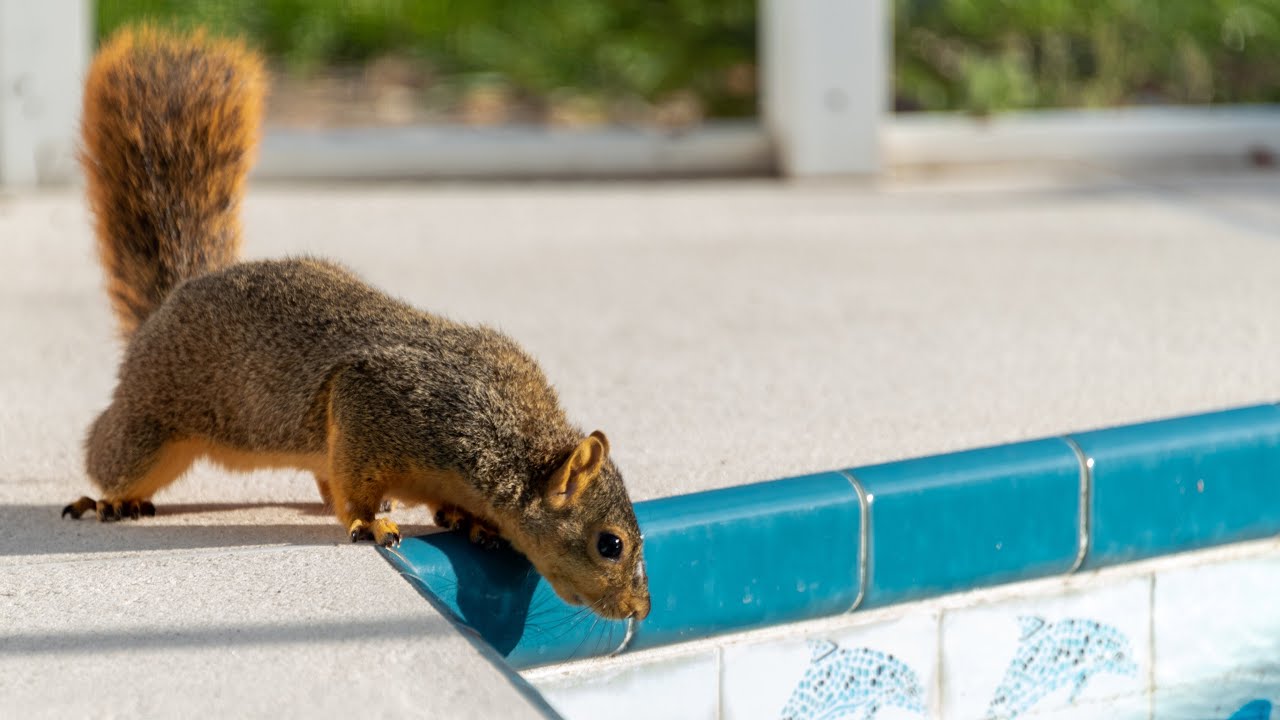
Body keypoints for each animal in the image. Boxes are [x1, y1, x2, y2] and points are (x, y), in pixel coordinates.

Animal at [61, 26, 651, 622]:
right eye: (611, 544)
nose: (639, 609)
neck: (506, 434)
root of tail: (170, 303)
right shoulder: (379, 403)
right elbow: (360, 484)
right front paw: (371, 520)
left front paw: (469, 520)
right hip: (151, 417)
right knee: (111, 453)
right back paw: (108, 500)